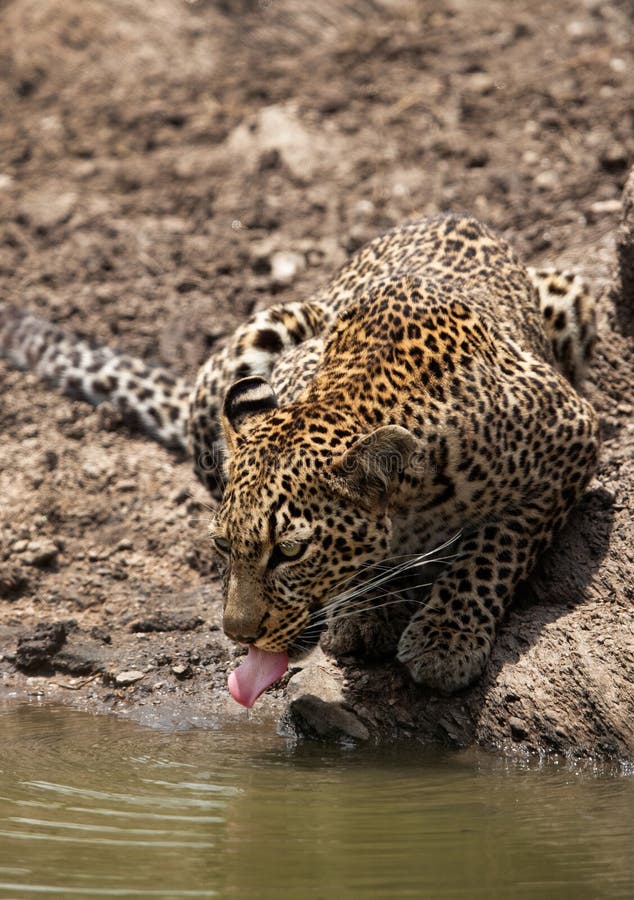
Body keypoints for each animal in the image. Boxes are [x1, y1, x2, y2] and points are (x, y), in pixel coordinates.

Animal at [0, 214, 599, 700]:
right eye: (223, 545)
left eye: (289, 552)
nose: (238, 634)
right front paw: (368, 610)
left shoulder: (573, 434)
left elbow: (497, 547)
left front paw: (446, 638)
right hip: (266, 326)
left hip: (570, 295)